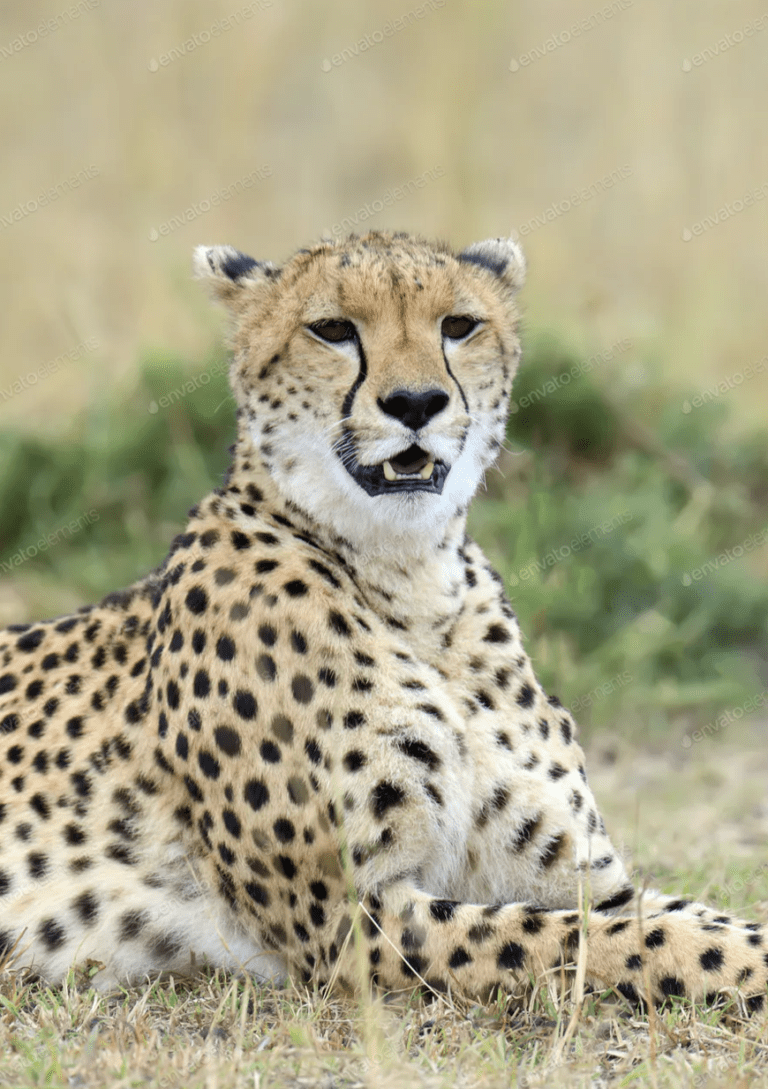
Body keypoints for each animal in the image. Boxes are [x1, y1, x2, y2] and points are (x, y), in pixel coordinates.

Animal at [0, 229, 765, 1014]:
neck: (414, 583)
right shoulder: (352, 920)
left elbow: (683, 922)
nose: (416, 402)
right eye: (333, 329)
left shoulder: (592, 882)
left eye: (458, 325)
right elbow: (622, 941)